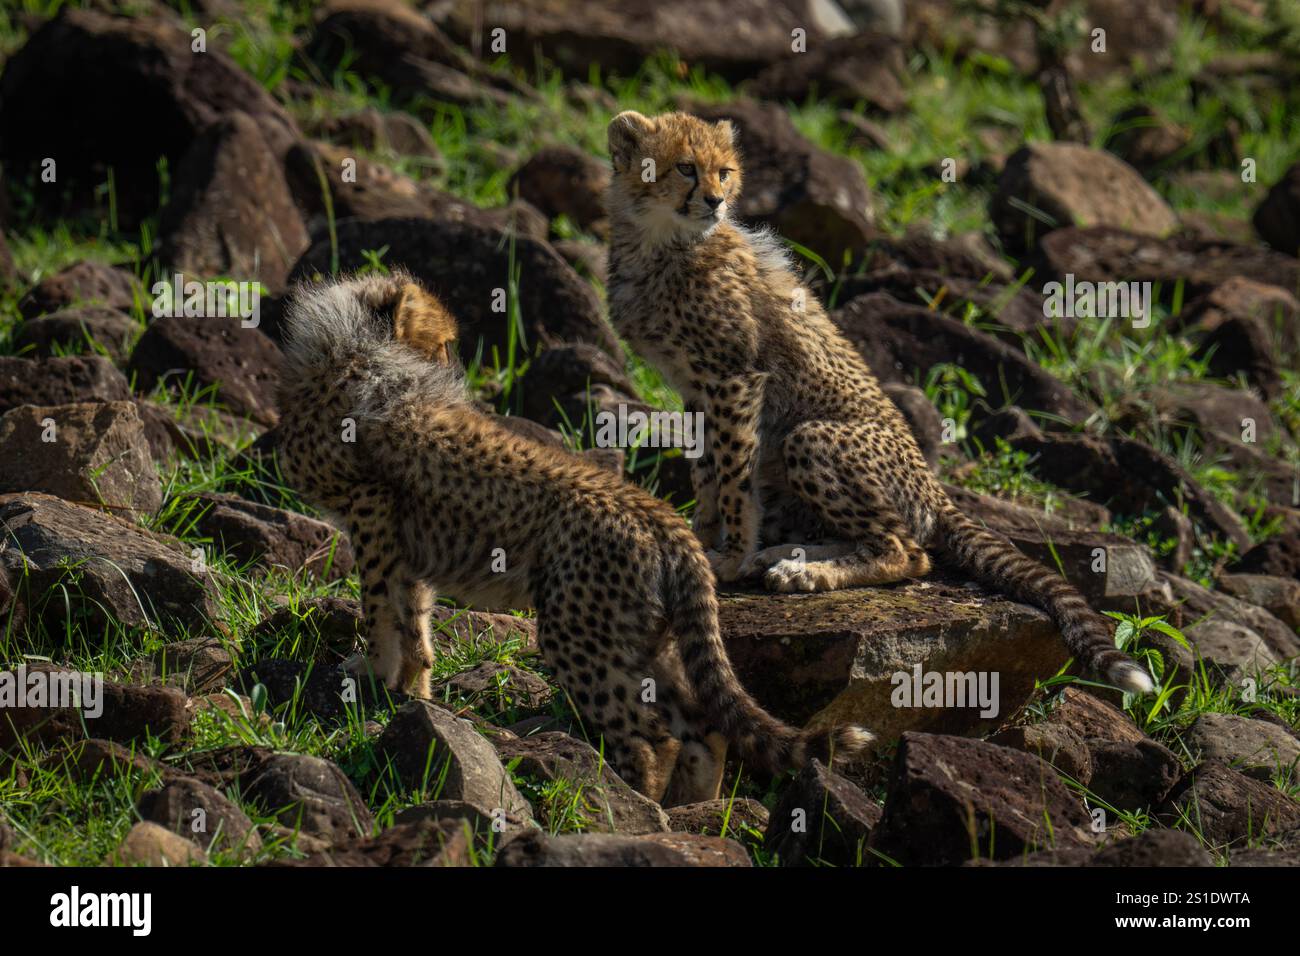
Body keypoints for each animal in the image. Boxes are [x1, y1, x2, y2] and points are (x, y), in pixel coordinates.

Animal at [273, 271, 870, 804]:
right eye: (439, 343)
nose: (452, 378)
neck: (358, 350)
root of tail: (661, 514)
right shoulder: (404, 538)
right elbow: (412, 617)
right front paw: (412, 692)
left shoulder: (371, 513)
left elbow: (378, 605)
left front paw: (372, 674)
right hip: (643, 635)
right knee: (705, 724)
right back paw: (691, 808)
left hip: (577, 631)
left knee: (651, 738)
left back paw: (633, 809)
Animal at [604, 110, 1154, 695]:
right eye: (686, 167)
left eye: (725, 172)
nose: (715, 201)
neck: (659, 240)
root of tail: (935, 489)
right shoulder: (696, 387)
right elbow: (707, 472)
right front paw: (704, 541)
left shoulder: (735, 378)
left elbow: (730, 478)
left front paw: (728, 555)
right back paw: (784, 557)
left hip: (810, 436)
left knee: (907, 551)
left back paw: (806, 572)